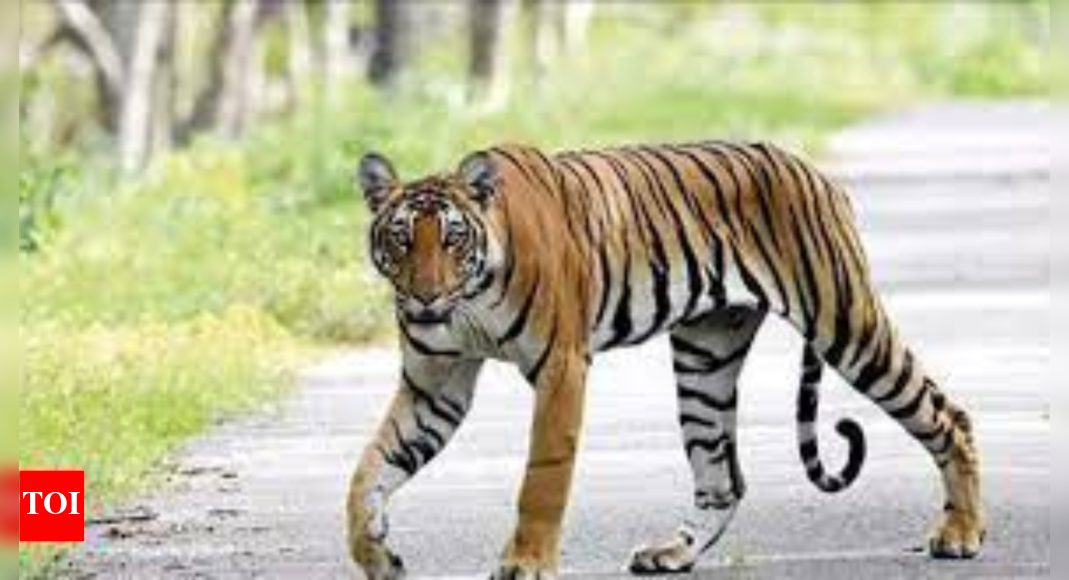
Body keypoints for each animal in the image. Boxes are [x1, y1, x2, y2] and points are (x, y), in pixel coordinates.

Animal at [346, 141, 984, 579]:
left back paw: (960, 534)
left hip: (846, 324)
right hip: (705, 358)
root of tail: (814, 171)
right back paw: (672, 552)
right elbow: (369, 471)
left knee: (947, 415)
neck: (470, 298)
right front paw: (377, 556)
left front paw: (526, 563)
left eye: (453, 239)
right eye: (402, 239)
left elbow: (542, 477)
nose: (426, 298)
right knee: (724, 478)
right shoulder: (436, 383)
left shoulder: (561, 368)